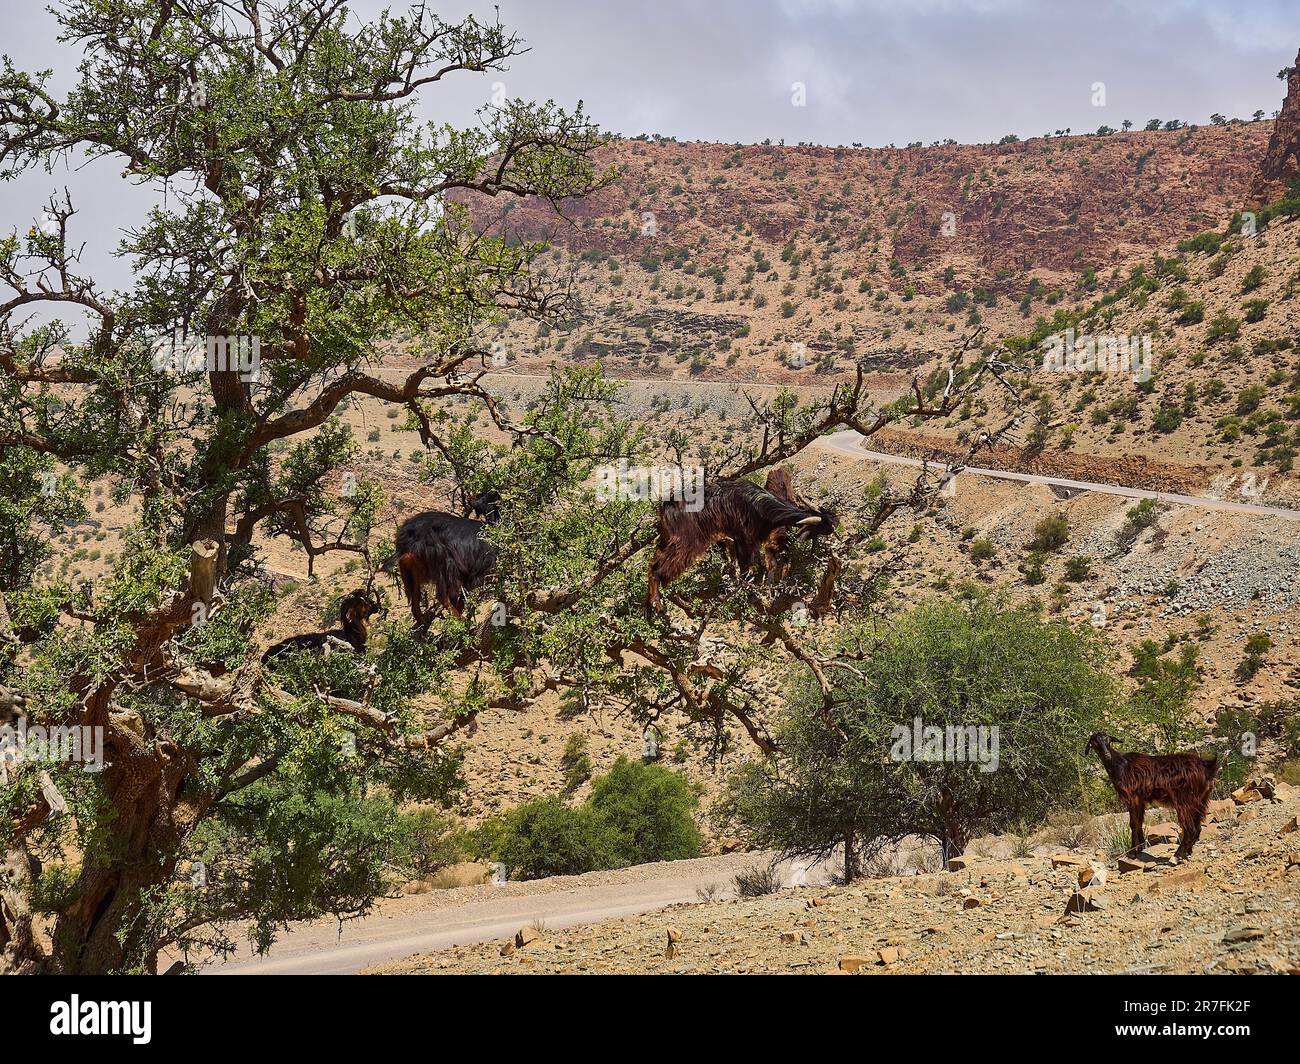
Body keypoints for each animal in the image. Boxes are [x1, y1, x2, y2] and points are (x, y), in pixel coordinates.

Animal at [387, 490, 502, 630]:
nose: (470, 498)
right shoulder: (476, 572)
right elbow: (462, 596)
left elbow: (459, 598)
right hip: (444, 564)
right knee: (442, 596)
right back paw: (461, 620)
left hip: (412, 572)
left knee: (415, 601)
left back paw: (424, 625)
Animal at [646, 477, 835, 612]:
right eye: (821, 527)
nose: (833, 529)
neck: (760, 504)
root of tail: (666, 506)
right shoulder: (744, 538)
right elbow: (746, 568)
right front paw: (749, 594)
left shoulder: (748, 540)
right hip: (688, 541)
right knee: (659, 567)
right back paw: (658, 603)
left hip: (667, 538)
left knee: (653, 561)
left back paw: (649, 605)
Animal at [1085, 732, 1219, 860]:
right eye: (1095, 742)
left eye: (1108, 740)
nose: (1107, 755)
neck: (1121, 765)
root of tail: (1207, 767)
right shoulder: (1140, 800)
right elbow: (1139, 822)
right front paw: (1141, 847)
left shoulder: (1132, 797)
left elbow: (1133, 823)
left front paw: (1132, 853)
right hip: (1201, 800)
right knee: (1198, 828)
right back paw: (1187, 853)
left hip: (1184, 801)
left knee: (1191, 829)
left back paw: (1177, 856)